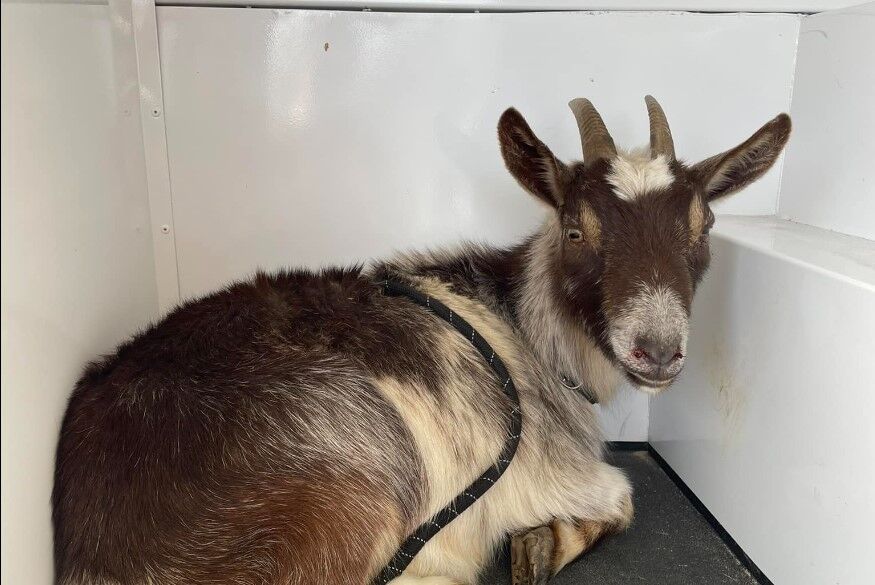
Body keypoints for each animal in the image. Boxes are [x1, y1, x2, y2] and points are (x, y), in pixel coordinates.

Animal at [53, 97, 790, 585]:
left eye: (703, 226)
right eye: (576, 229)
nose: (656, 349)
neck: (522, 325)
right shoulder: (547, 471)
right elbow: (621, 496)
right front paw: (537, 545)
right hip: (355, 469)